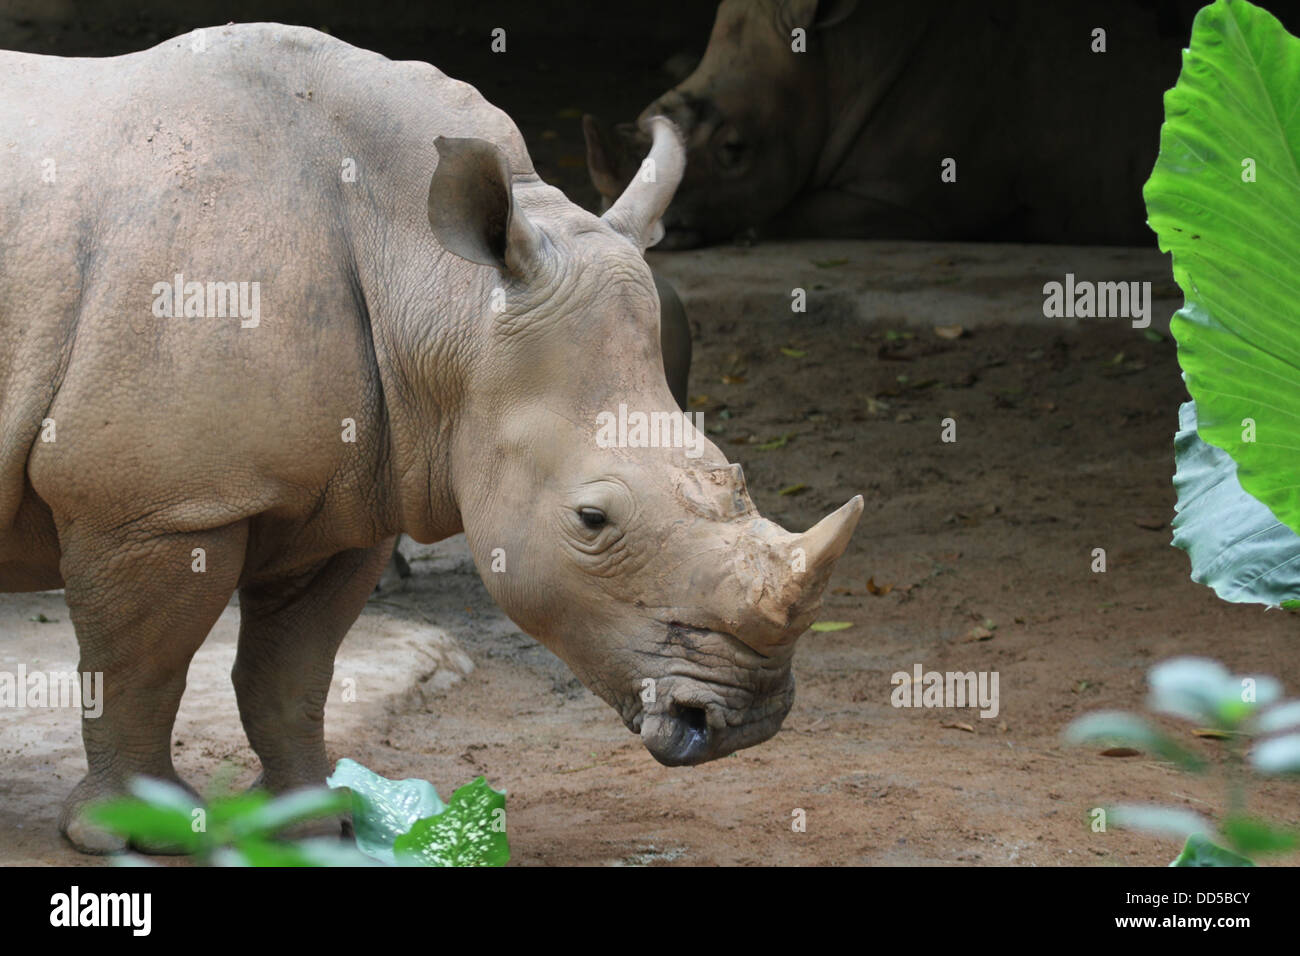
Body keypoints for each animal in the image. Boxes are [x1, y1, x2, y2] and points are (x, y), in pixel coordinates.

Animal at [0, 23, 861, 853]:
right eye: (592, 520)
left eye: (730, 471)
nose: (746, 721)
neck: (438, 286)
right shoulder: (157, 505)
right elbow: (141, 669)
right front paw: (133, 834)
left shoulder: (343, 500)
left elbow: (294, 672)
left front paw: (316, 825)